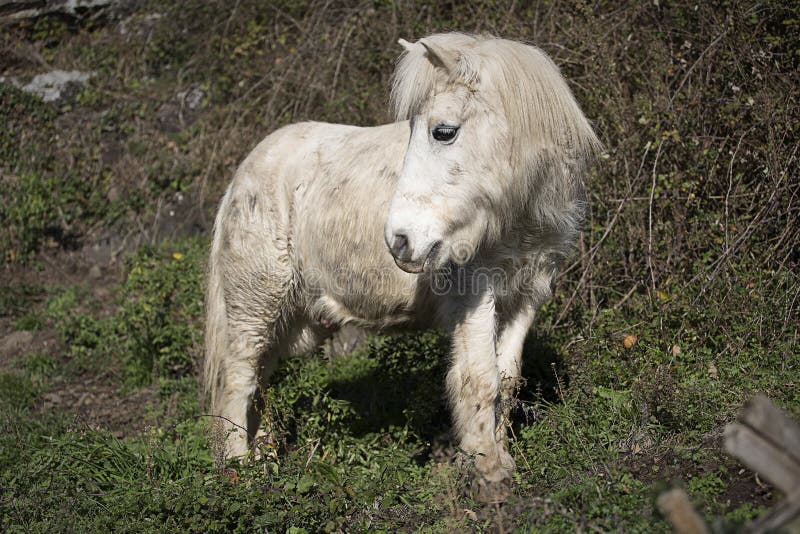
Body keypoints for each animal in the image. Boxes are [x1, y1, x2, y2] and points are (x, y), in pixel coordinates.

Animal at [203, 32, 600, 500]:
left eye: (443, 131)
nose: (399, 241)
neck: (517, 217)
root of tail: (242, 176)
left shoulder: (527, 295)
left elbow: (506, 380)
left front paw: (500, 460)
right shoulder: (474, 292)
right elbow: (479, 378)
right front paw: (487, 473)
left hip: (290, 320)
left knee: (262, 382)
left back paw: (264, 460)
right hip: (256, 304)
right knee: (239, 380)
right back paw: (237, 471)